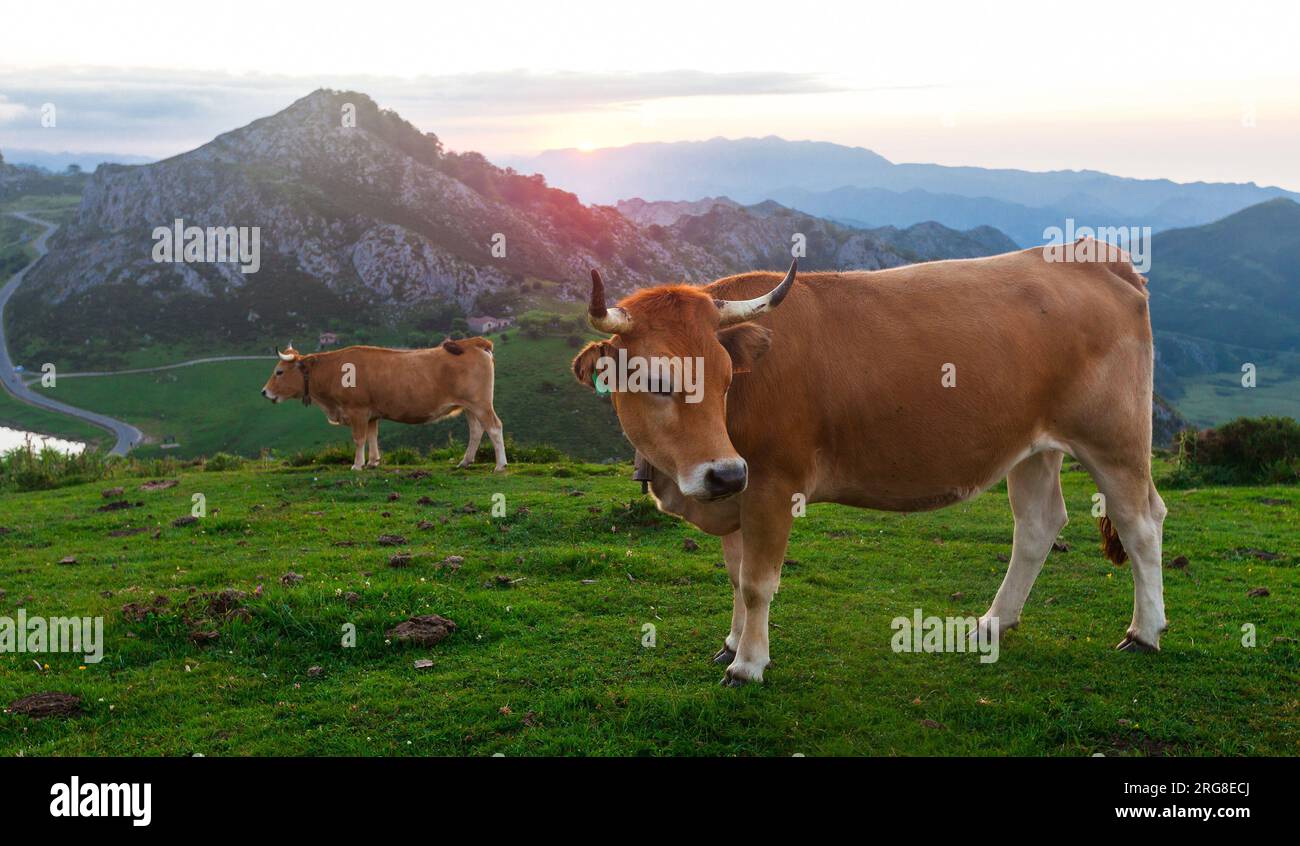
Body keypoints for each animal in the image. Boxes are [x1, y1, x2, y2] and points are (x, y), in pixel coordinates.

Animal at [262, 338, 506, 471]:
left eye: (279, 372)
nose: (264, 392)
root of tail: (472, 342)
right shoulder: (371, 414)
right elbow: (372, 436)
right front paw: (373, 462)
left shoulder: (357, 411)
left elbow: (359, 438)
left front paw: (357, 464)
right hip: (469, 407)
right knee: (476, 431)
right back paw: (465, 461)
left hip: (481, 403)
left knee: (494, 427)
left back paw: (500, 465)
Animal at [573, 245, 1167, 686]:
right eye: (654, 379)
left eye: (724, 378)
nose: (725, 473)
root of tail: (1092, 255)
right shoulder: (735, 494)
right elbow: (735, 575)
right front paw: (731, 643)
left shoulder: (769, 483)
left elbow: (757, 581)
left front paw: (748, 664)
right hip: (1034, 447)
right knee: (1038, 526)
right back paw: (993, 624)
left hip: (1113, 438)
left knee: (1141, 522)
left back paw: (1144, 632)